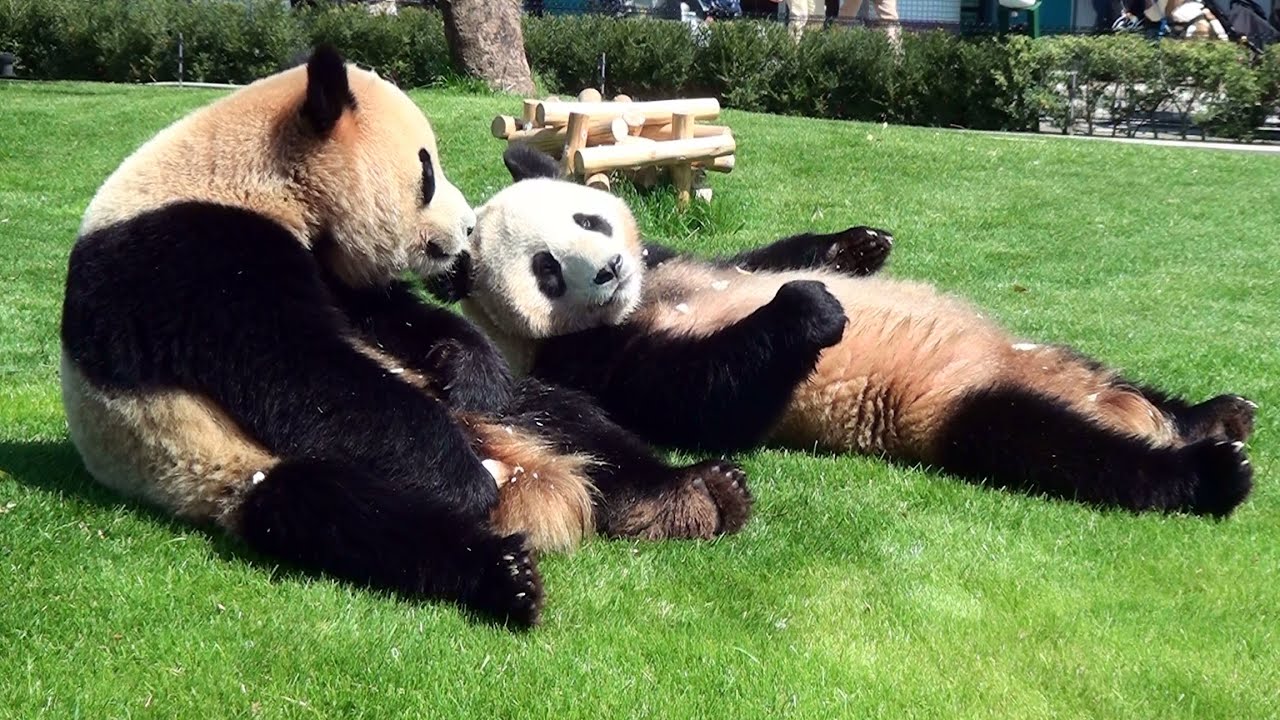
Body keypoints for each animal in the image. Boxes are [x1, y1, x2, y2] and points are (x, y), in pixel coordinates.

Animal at [59, 48, 750, 630]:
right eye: (426, 172)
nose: (467, 232)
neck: (253, 174)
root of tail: (521, 469)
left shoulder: (326, 262)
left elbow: (387, 314)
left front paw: (468, 361)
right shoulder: (191, 257)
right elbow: (302, 373)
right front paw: (462, 482)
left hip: (510, 414)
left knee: (573, 421)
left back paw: (696, 494)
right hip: (228, 466)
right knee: (346, 513)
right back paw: (502, 571)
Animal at [432, 144, 1257, 518]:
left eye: (590, 219)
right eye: (545, 270)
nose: (606, 271)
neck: (643, 302)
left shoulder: (680, 261)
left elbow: (763, 256)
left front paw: (861, 247)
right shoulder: (593, 359)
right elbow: (704, 397)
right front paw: (810, 311)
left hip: (1052, 355)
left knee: (1122, 382)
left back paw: (1215, 413)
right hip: (960, 406)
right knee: (1054, 446)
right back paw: (1210, 470)